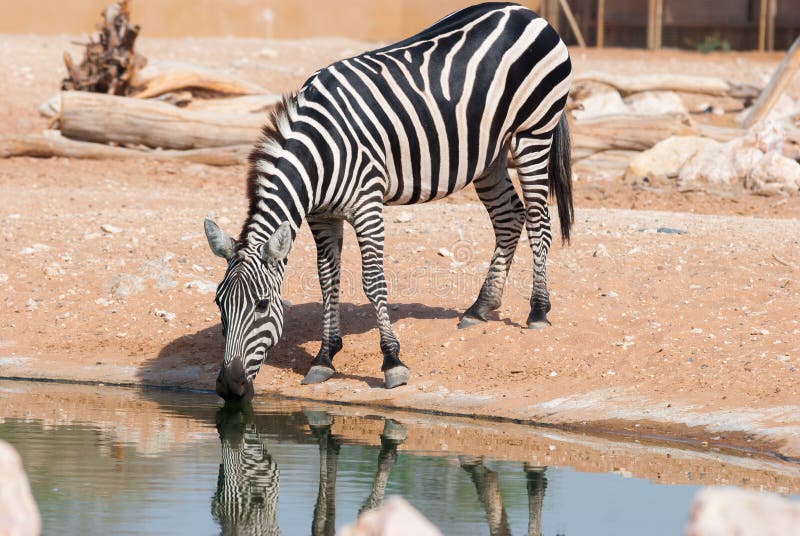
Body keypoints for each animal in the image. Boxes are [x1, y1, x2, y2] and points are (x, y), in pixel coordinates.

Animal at [205, 2, 573, 401]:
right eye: (219, 303)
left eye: (261, 305)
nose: (230, 386)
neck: (321, 151)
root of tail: (524, 11)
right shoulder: (322, 215)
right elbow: (327, 280)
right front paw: (324, 357)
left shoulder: (367, 205)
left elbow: (372, 281)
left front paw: (392, 362)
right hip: (489, 154)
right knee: (509, 217)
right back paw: (480, 307)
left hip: (534, 132)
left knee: (538, 219)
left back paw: (538, 311)